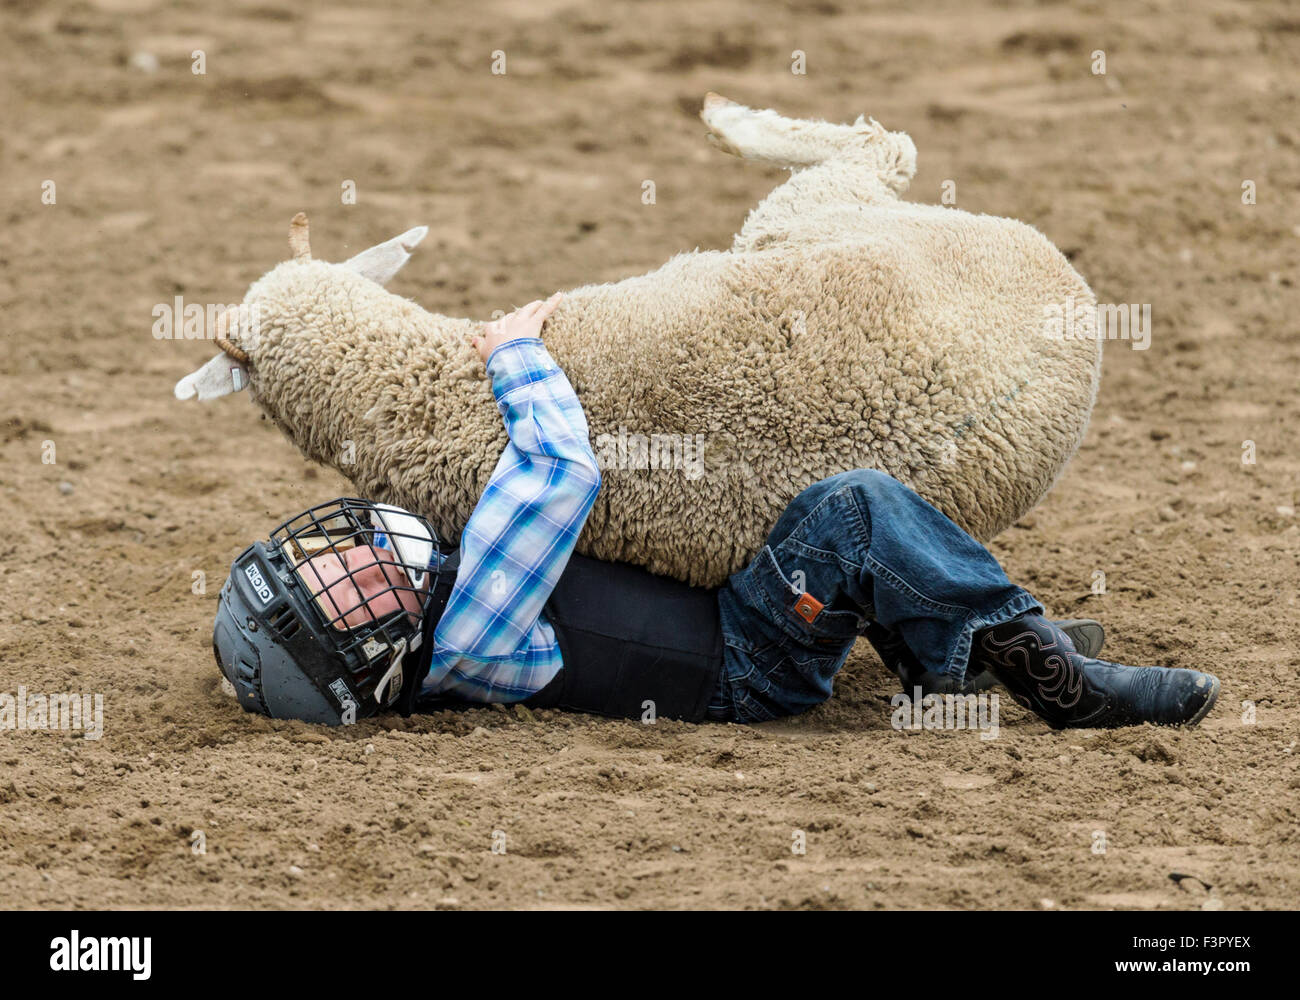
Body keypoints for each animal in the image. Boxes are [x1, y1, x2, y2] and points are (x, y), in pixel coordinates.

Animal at [175, 94, 1102, 588]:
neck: (435, 394)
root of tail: (1067, 280)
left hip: (810, 215)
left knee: (883, 144)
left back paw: (730, 121)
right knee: (887, 148)